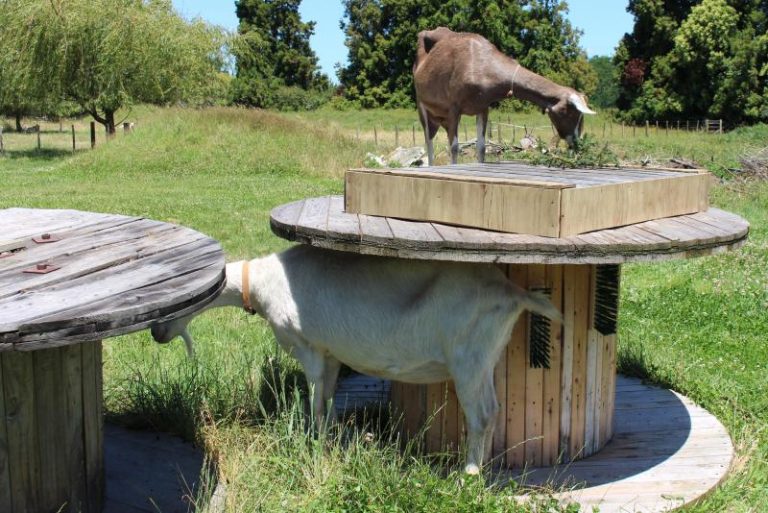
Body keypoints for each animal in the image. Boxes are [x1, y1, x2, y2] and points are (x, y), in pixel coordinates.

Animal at [151, 245, 561, 474]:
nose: (157, 333)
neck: (265, 284)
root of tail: (511, 292)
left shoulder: (309, 347)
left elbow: (315, 402)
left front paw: (314, 445)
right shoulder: (332, 354)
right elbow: (330, 399)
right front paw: (332, 440)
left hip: (468, 359)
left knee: (483, 414)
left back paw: (469, 475)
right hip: (486, 355)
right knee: (493, 410)